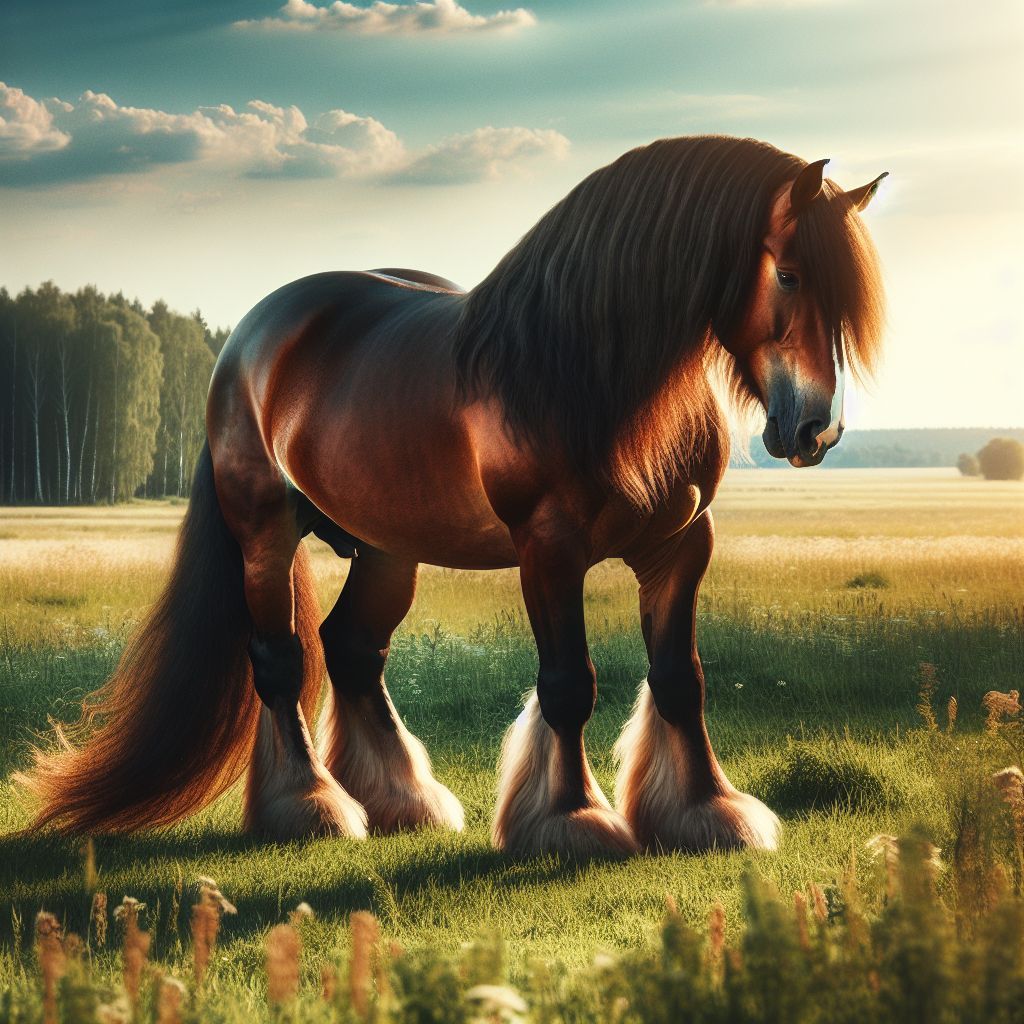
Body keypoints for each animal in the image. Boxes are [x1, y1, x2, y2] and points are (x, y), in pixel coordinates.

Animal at [19, 135, 886, 857]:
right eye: (789, 274)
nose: (815, 428)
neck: (595, 374)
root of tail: (250, 337)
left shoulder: (680, 547)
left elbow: (681, 678)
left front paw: (707, 812)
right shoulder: (549, 550)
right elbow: (568, 685)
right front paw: (571, 820)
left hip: (387, 549)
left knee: (352, 649)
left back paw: (404, 801)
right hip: (263, 532)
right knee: (282, 661)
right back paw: (311, 806)